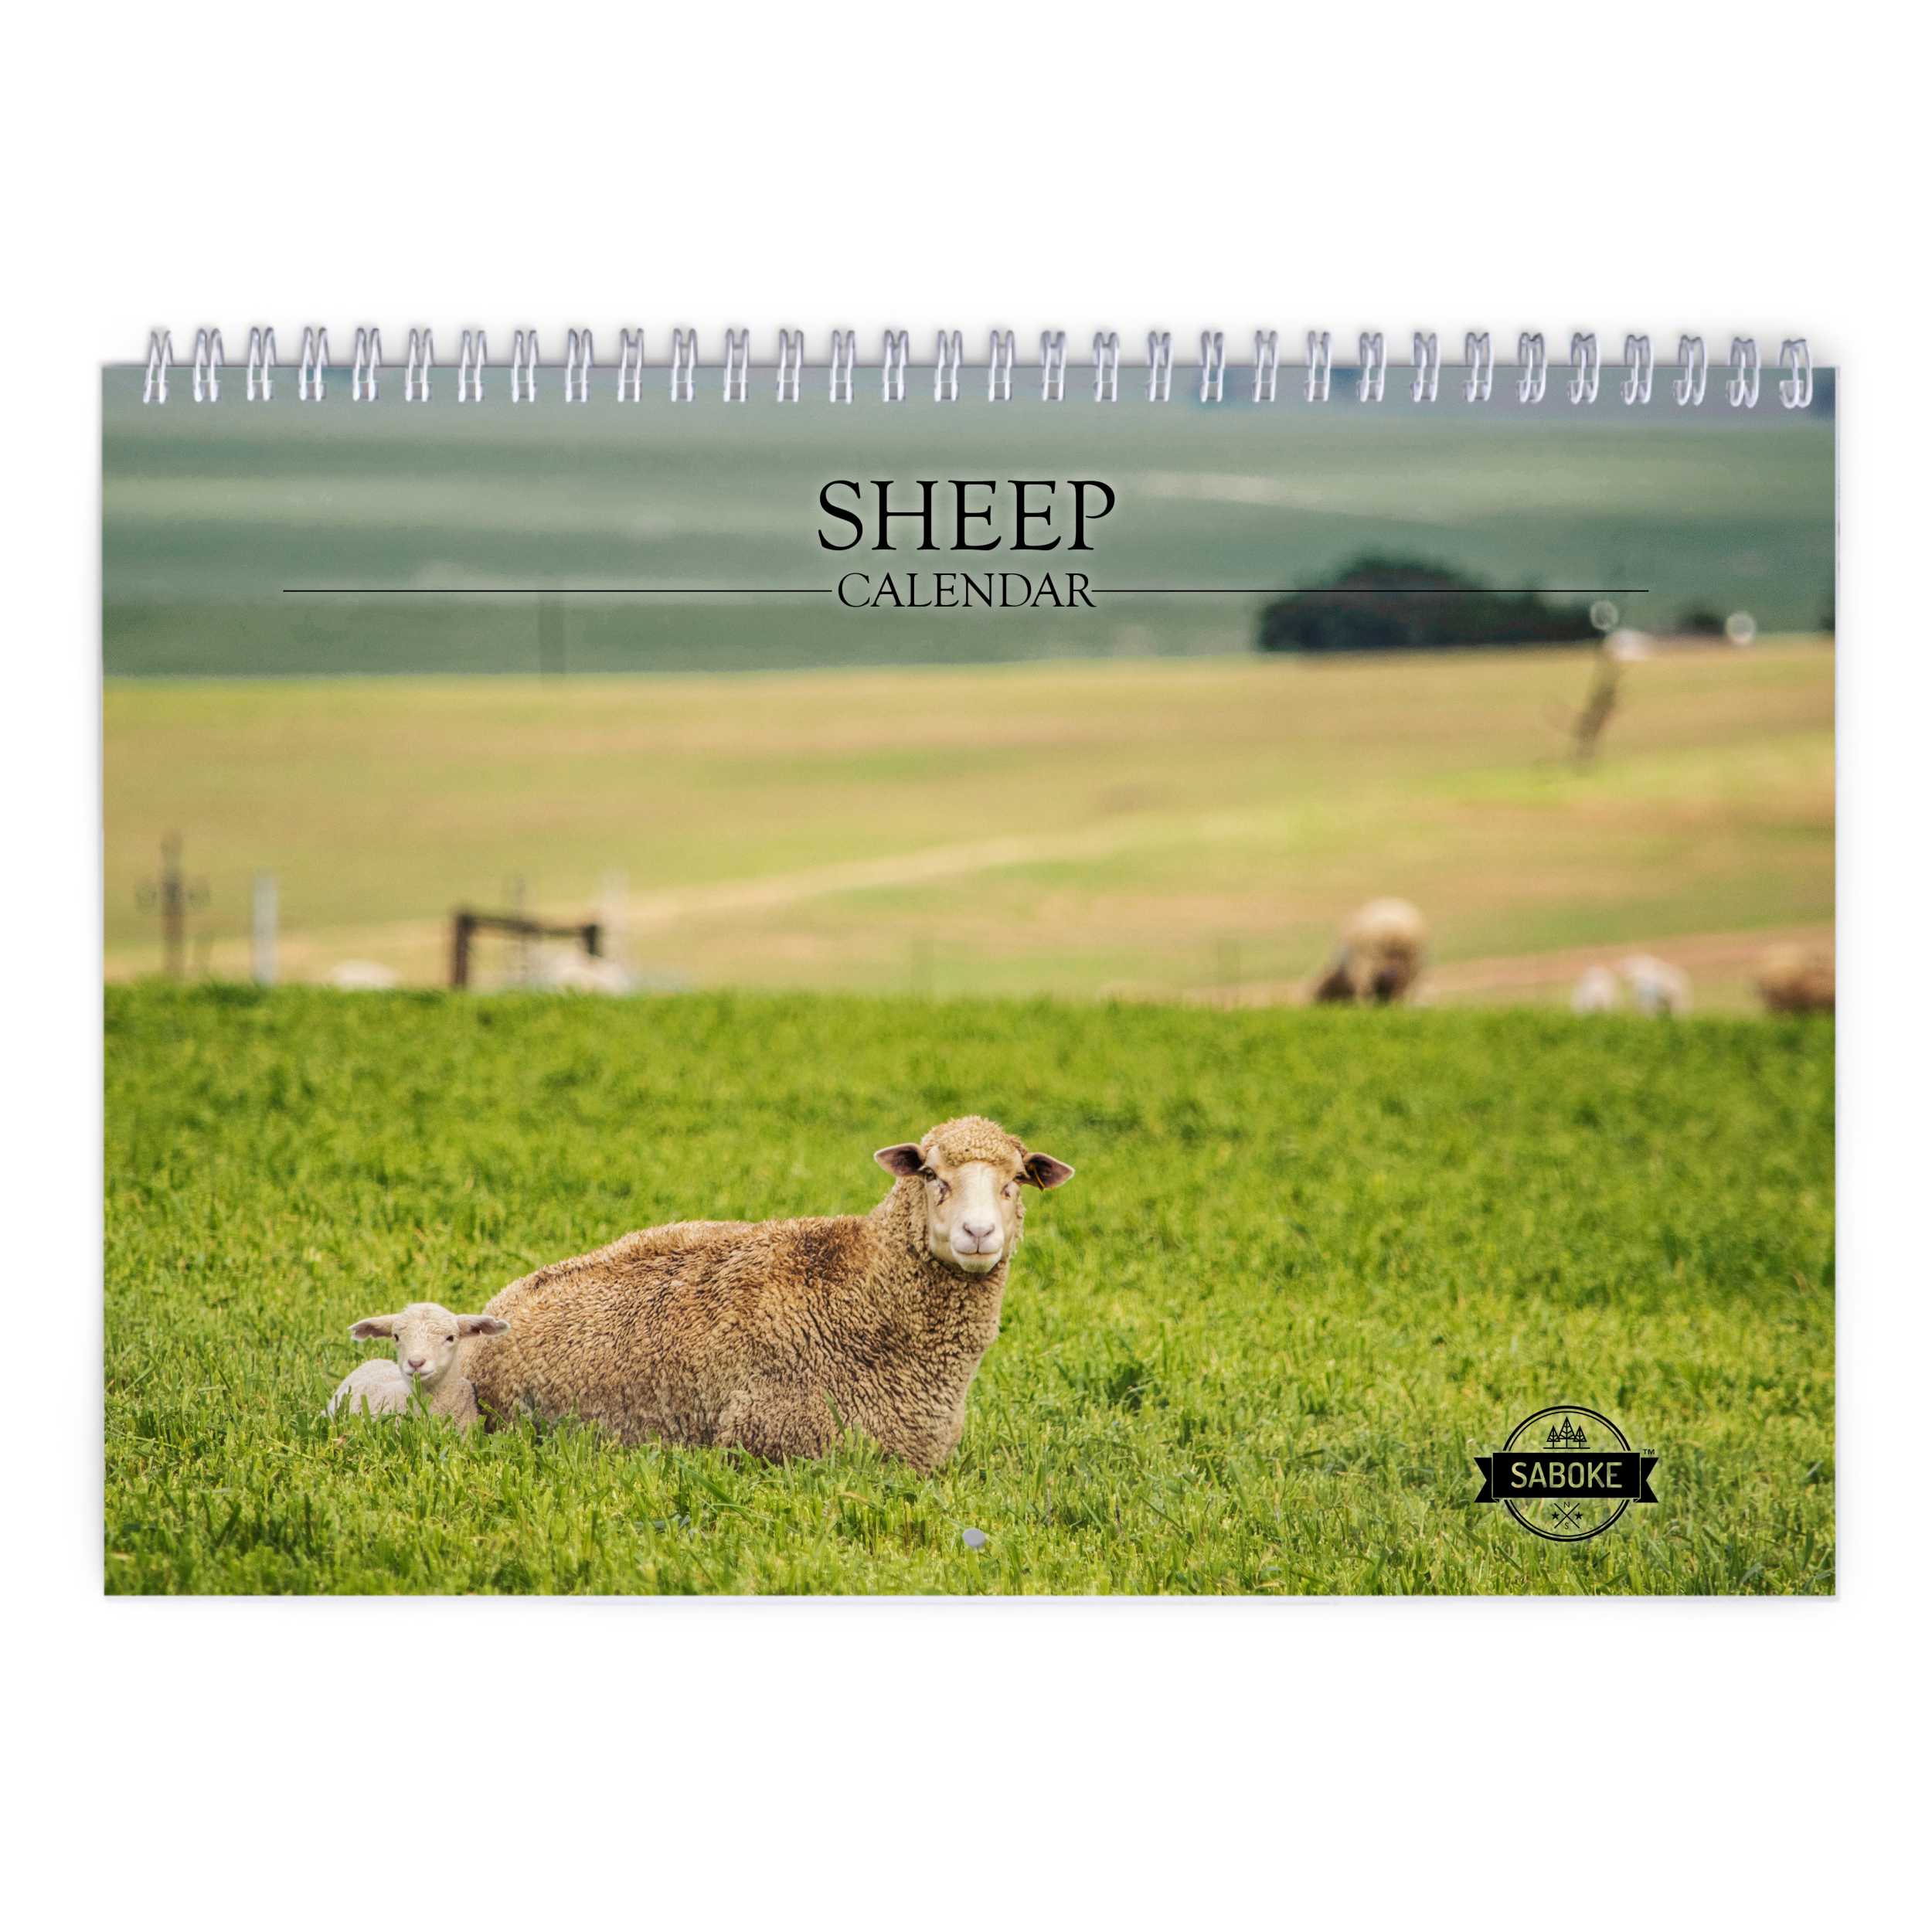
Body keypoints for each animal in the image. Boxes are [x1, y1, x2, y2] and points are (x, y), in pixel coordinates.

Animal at [463, 1116, 1075, 1473]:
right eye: (930, 1174)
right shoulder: (776, 1444)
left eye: (1016, 1181)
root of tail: (500, 1303)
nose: (979, 1233)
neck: (865, 1293)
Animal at [1309, 898, 1428, 1005]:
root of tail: (1394, 930)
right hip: (1411, 962)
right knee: (1400, 986)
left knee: (1366, 988)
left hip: (1368, 961)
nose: (1316, 1003)